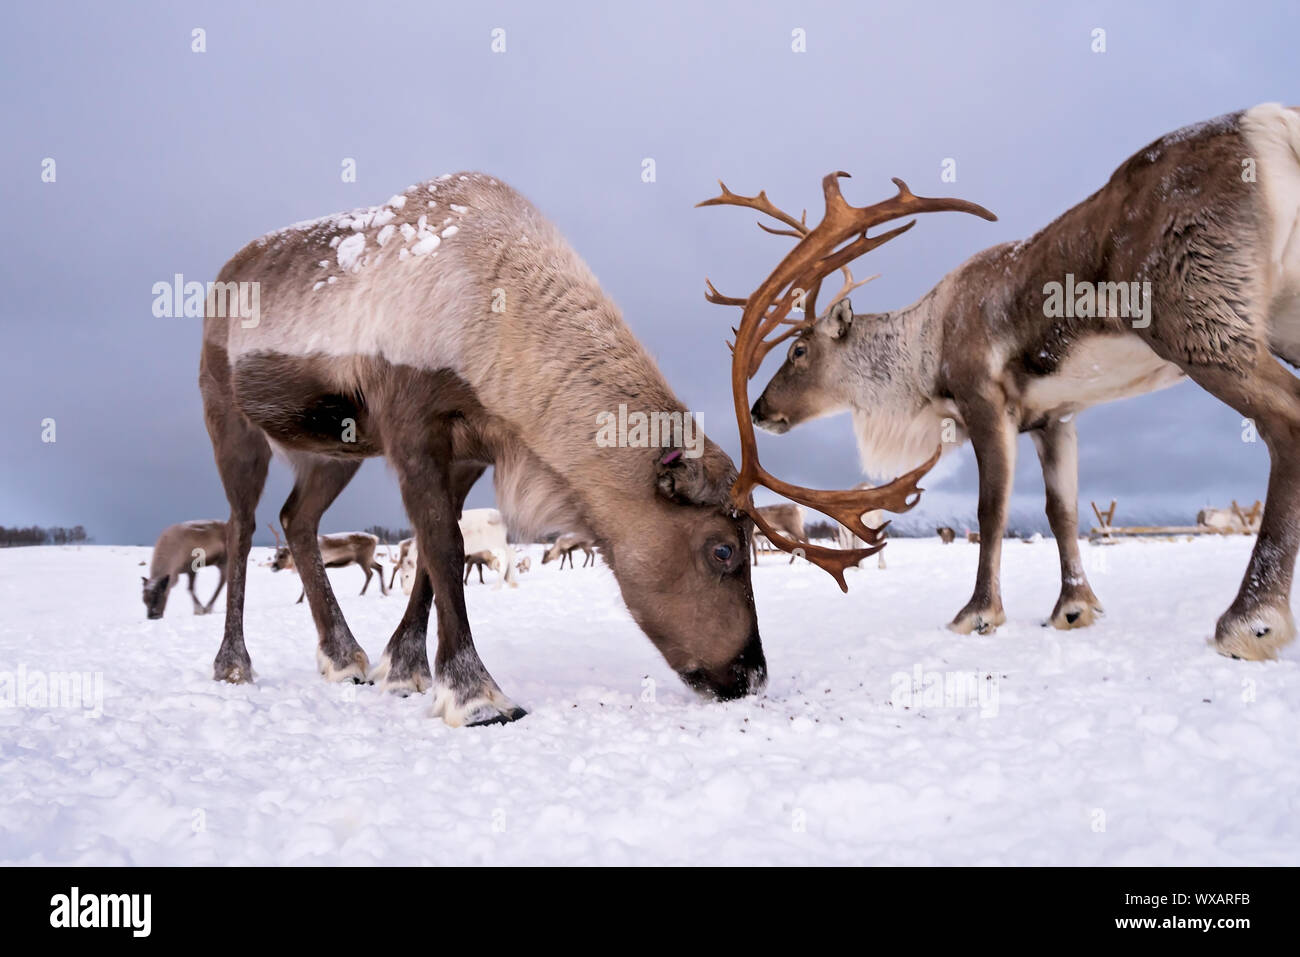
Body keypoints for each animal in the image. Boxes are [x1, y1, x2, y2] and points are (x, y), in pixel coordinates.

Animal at [199, 171, 766, 725]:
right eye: (723, 549)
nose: (752, 675)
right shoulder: (411, 425)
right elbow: (443, 546)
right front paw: (475, 696)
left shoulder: (473, 450)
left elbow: (431, 556)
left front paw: (403, 670)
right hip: (229, 417)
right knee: (241, 526)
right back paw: (233, 663)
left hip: (332, 452)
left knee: (297, 518)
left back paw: (342, 657)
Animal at [704, 103, 1300, 660]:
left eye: (799, 350)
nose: (760, 409)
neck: (928, 345)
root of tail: (1271, 123)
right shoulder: (1055, 417)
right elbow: (1061, 511)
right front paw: (1073, 608)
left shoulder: (985, 401)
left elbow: (991, 509)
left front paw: (978, 613)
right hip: (1275, 321)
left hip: (1198, 318)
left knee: (1286, 421)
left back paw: (1249, 620)